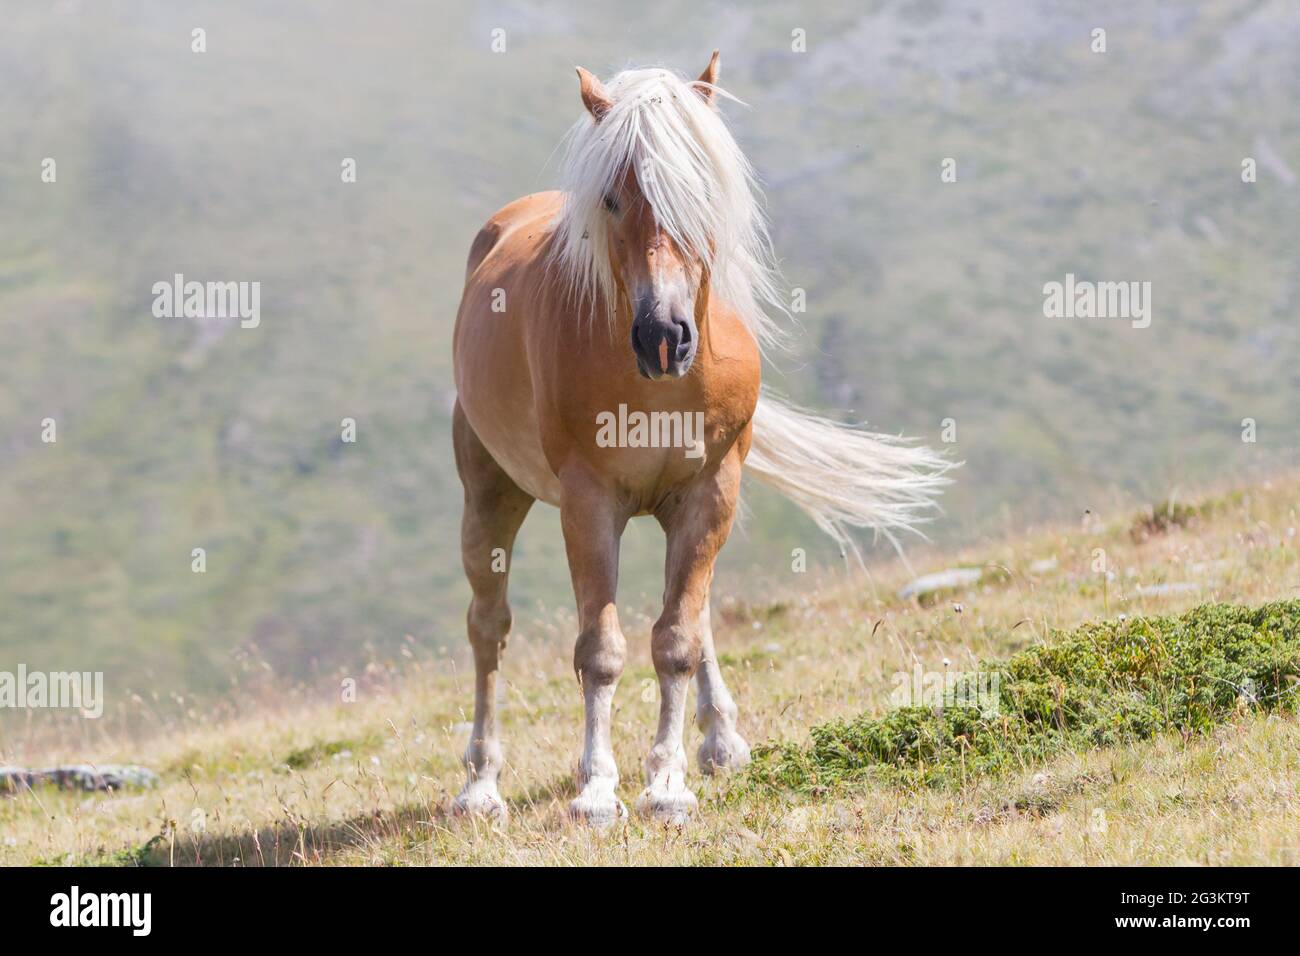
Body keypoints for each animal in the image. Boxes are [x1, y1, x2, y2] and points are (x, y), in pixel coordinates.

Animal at [451, 51, 950, 825]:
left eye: (703, 194)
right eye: (613, 199)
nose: (664, 336)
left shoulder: (711, 490)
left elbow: (679, 639)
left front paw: (667, 782)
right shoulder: (588, 505)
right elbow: (600, 650)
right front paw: (597, 789)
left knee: (690, 614)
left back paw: (718, 741)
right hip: (490, 493)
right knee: (488, 626)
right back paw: (480, 784)